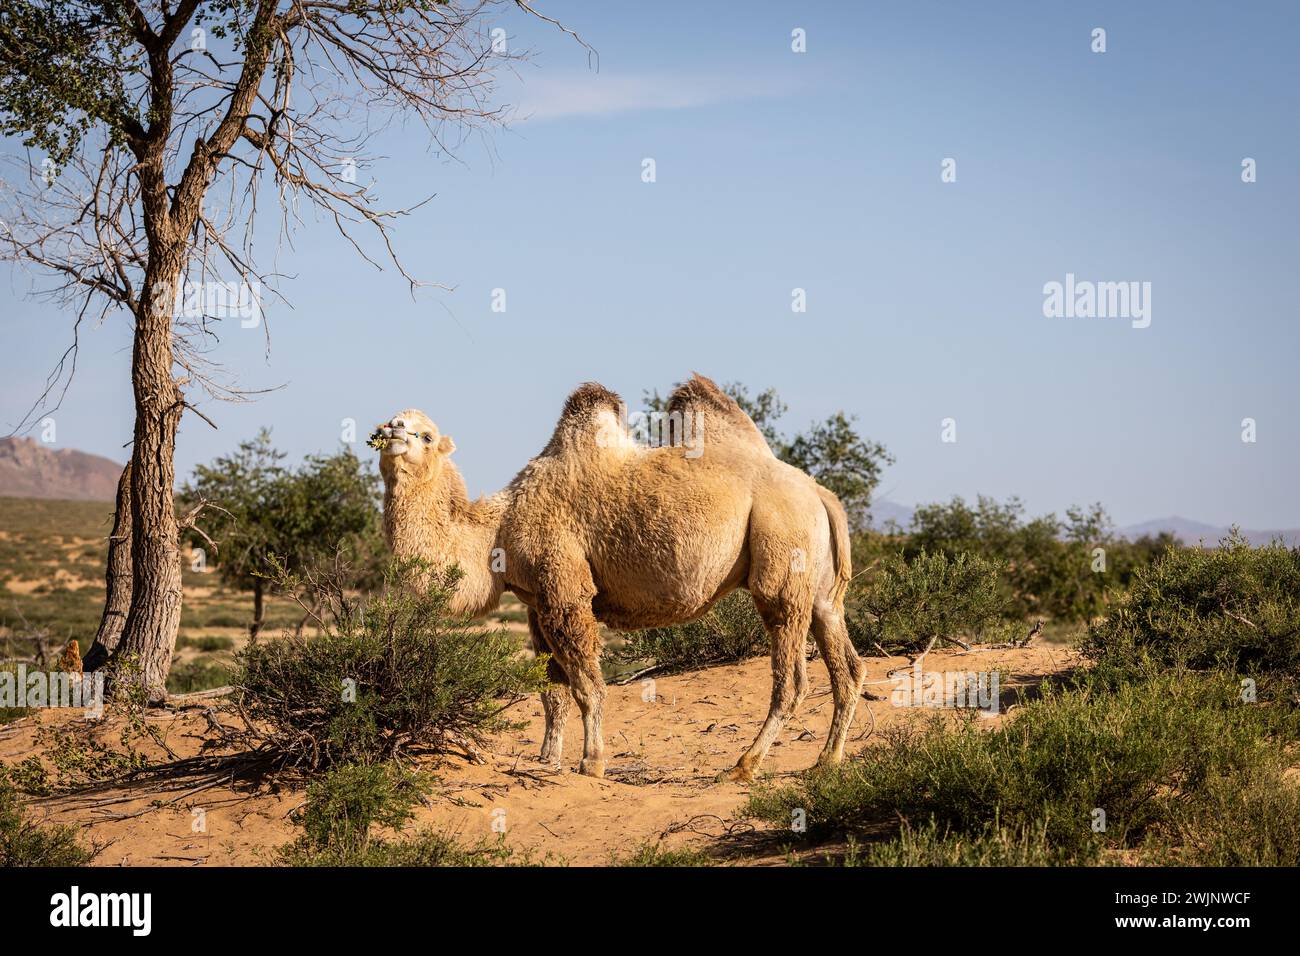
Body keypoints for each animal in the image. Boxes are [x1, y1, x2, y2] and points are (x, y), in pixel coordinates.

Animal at [373, 374, 867, 781]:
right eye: (394, 420)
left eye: (425, 434)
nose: (391, 429)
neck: (499, 526)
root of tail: (820, 493)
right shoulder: (535, 603)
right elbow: (551, 691)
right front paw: (547, 760)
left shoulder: (565, 590)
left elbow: (587, 686)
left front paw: (591, 762)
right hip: (820, 589)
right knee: (846, 663)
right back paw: (827, 760)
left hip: (782, 552)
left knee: (792, 675)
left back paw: (744, 766)